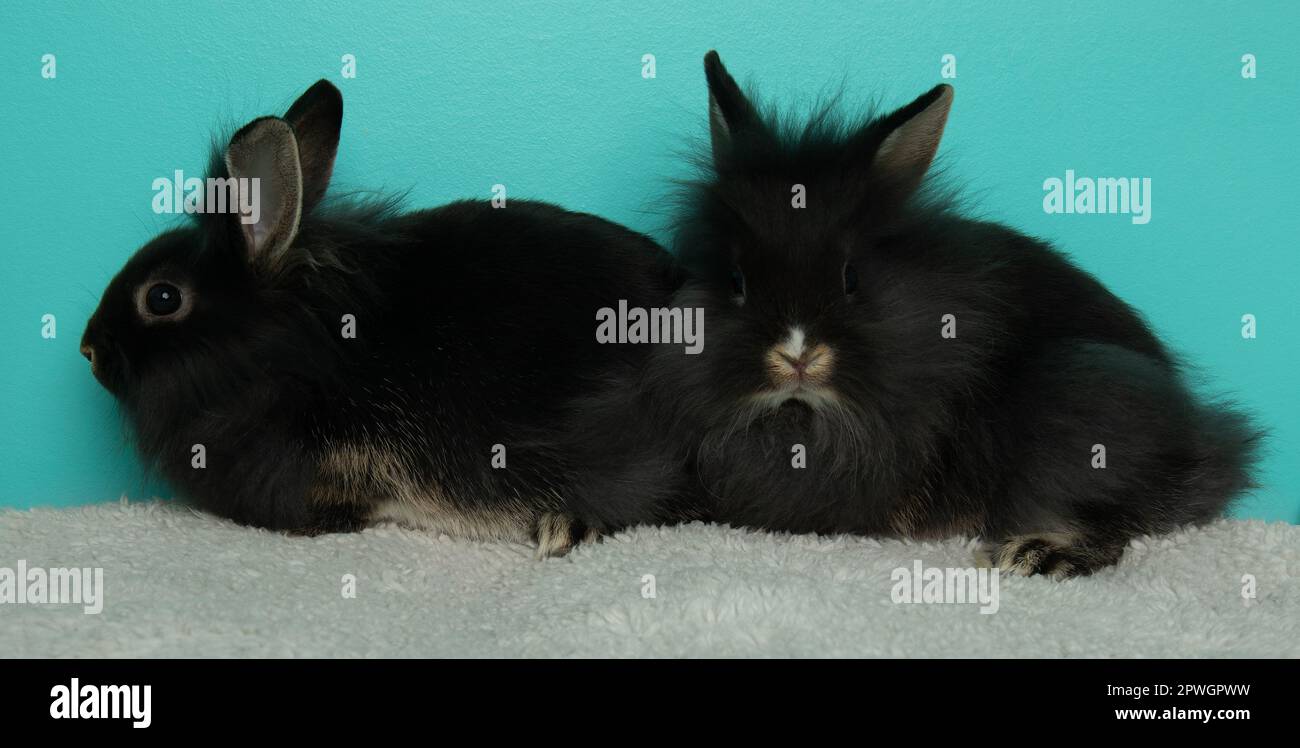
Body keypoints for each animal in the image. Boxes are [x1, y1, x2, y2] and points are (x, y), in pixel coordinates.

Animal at [642, 51, 1263, 577]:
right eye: (737, 281)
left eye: (851, 278)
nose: (797, 356)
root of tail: (1203, 441)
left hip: (1089, 398)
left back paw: (1036, 555)